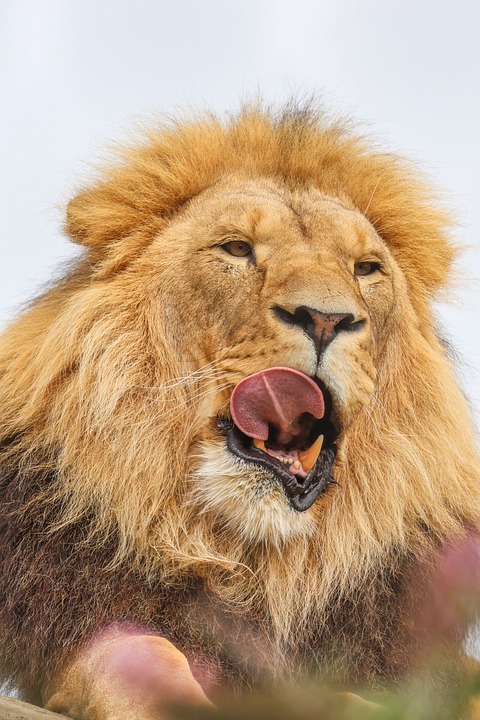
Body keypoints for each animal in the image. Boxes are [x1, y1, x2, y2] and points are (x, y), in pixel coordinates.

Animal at [0, 103, 479, 720]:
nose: (326, 319)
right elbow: (141, 654)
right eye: (236, 249)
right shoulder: (69, 646)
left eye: (366, 268)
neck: (258, 563)